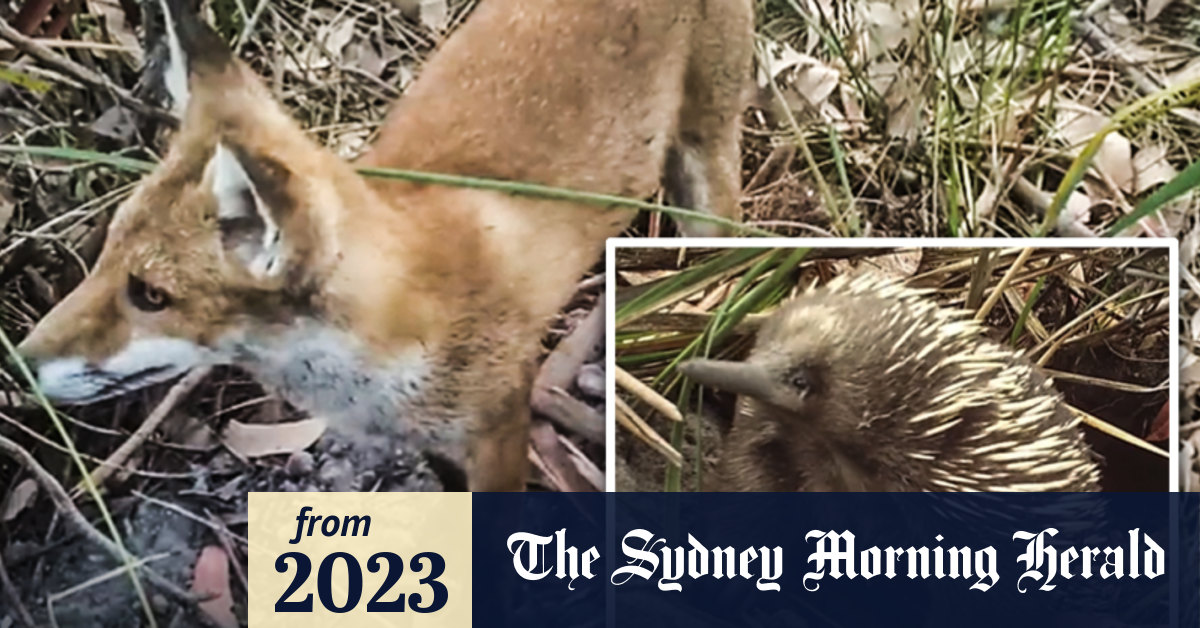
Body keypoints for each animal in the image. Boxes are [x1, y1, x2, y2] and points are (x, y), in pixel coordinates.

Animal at [13, 0, 753, 490]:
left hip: (706, 168)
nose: (17, 364)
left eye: (150, 295)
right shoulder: (431, 444)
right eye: (105, 255)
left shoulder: (496, 429)